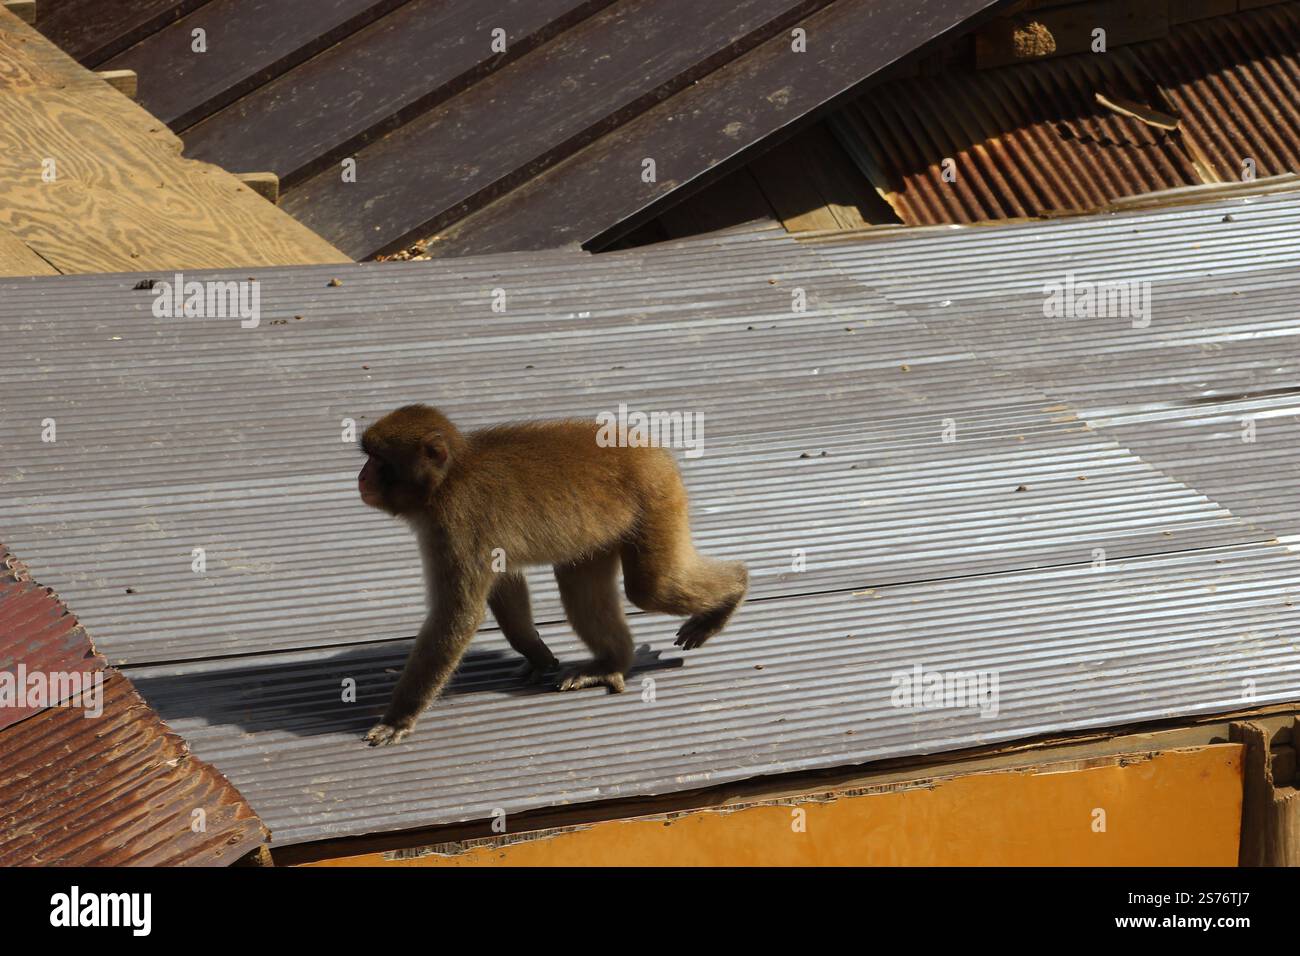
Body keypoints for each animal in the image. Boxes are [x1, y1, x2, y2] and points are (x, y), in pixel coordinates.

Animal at [356, 404, 749, 746]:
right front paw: (538, 655)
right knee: (582, 589)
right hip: (604, 529)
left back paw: (735, 589)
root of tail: (650, 450)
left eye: (378, 460)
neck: (449, 480)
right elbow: (505, 582)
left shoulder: (457, 526)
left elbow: (458, 616)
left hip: (658, 497)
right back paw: (611, 662)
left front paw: (399, 718)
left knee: (651, 588)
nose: (361, 476)